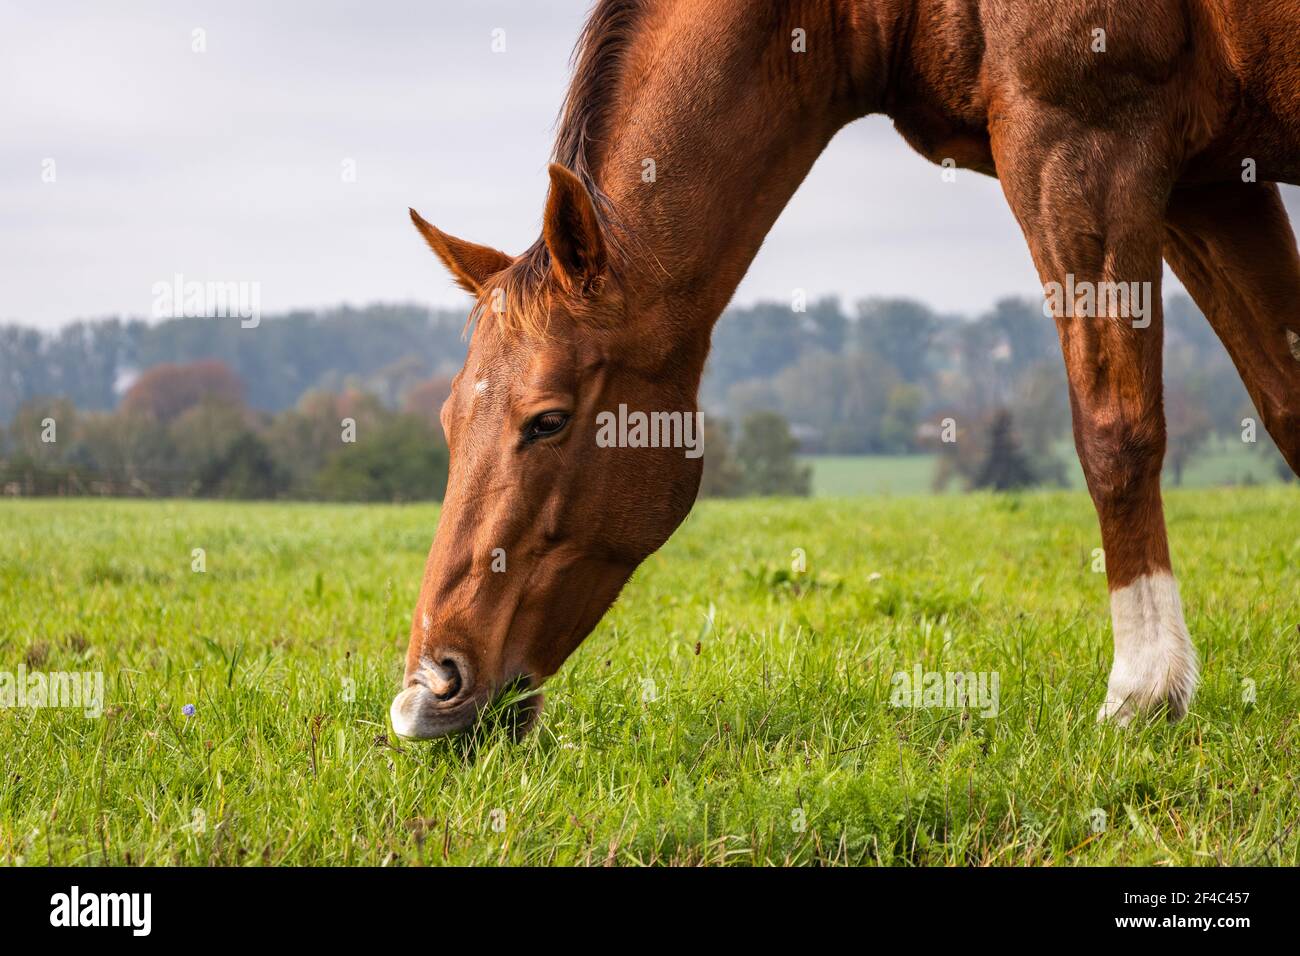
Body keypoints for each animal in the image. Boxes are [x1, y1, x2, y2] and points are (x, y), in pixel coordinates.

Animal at [390, 0, 1300, 739]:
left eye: (547, 420)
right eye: (446, 422)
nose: (426, 693)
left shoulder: (1088, 146)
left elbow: (1113, 427)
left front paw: (1144, 690)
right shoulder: (1212, 186)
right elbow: (1286, 404)